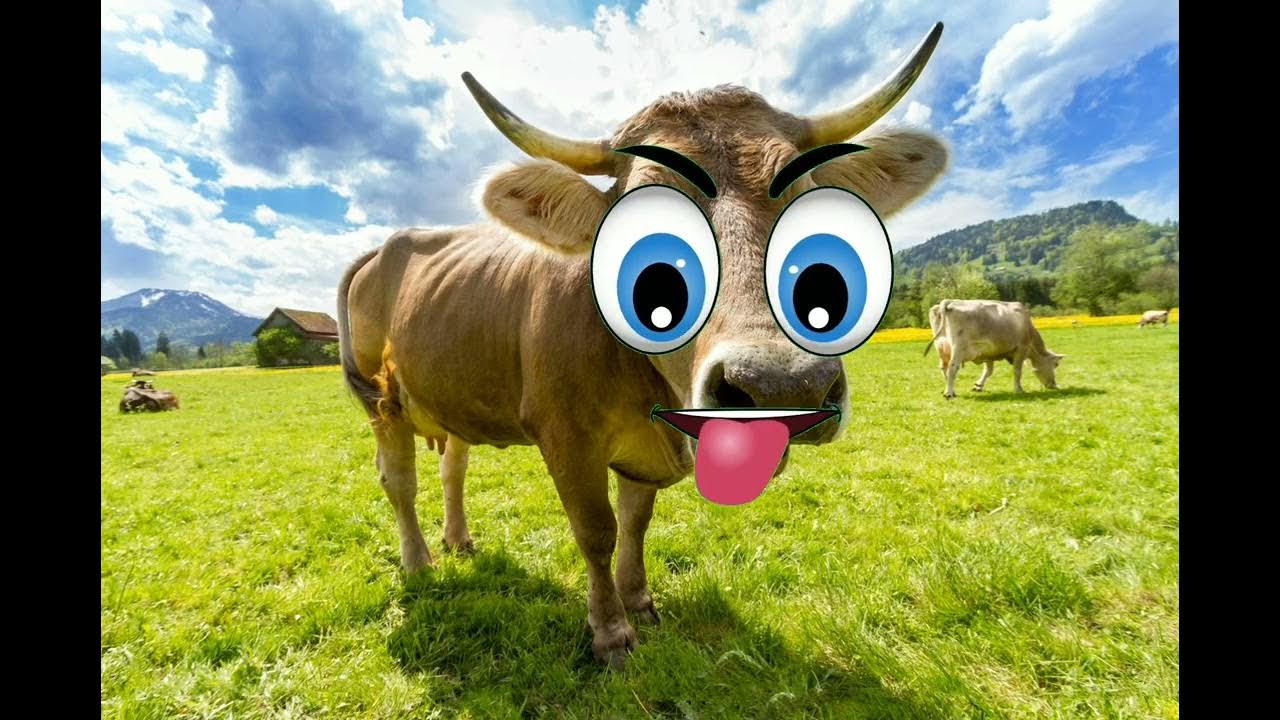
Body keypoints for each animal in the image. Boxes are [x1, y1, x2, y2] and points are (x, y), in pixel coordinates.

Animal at [338, 23, 949, 668]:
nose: (782, 385)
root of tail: (389, 245)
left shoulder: (642, 450)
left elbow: (635, 523)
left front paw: (639, 601)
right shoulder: (565, 437)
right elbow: (597, 530)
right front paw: (610, 631)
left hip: (452, 392)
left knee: (453, 465)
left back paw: (458, 540)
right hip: (382, 403)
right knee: (399, 481)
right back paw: (419, 562)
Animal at [924, 299, 1063, 399]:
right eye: (1055, 364)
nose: (1054, 385)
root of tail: (950, 302)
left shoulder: (988, 354)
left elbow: (988, 371)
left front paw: (978, 386)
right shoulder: (1021, 348)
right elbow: (1017, 371)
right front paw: (1019, 389)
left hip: (942, 347)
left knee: (944, 368)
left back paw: (951, 390)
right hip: (958, 348)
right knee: (953, 368)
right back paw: (949, 393)